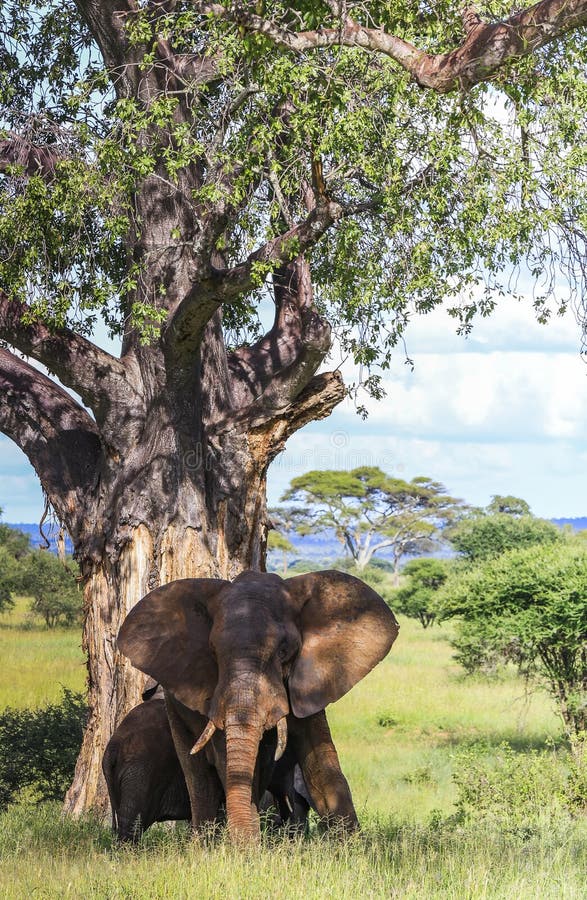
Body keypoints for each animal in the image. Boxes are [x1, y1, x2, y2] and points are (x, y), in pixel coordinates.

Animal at [118, 569, 399, 842]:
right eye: (213, 652)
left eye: (284, 651)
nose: (244, 847)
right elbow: (228, 761)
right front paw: (247, 849)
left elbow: (320, 761)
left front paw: (352, 847)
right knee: (200, 778)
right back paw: (205, 845)